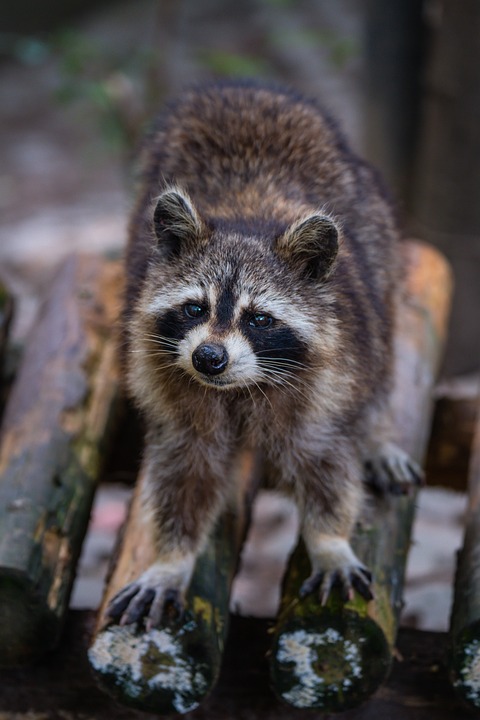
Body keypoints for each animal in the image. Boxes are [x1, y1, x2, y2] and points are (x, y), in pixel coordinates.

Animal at [107, 82, 421, 629]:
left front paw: (329, 539)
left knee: (381, 362)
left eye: (258, 319)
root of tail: (241, 90)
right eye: (195, 308)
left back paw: (377, 433)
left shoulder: (330, 373)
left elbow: (324, 460)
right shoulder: (167, 377)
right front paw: (171, 559)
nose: (209, 358)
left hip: (378, 246)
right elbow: (185, 470)